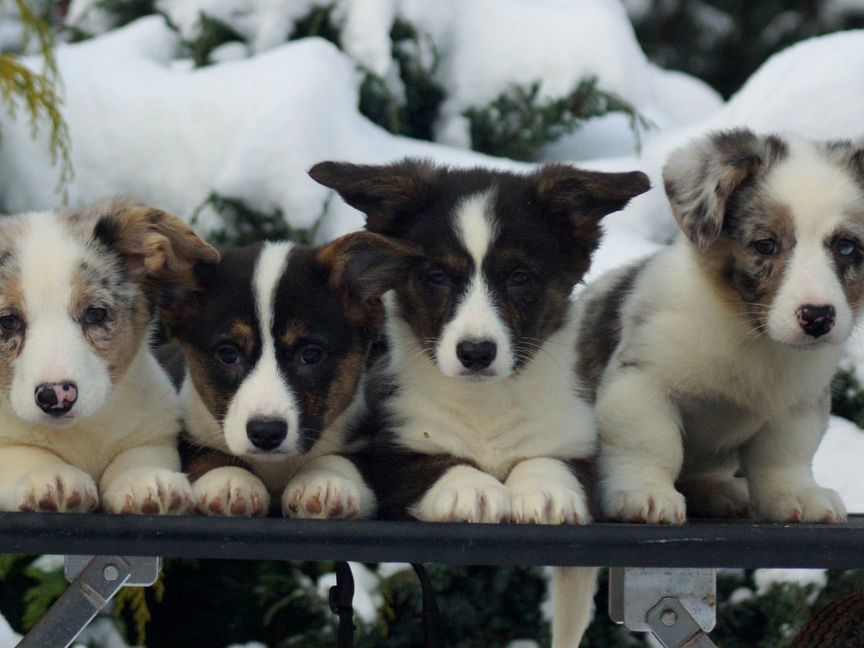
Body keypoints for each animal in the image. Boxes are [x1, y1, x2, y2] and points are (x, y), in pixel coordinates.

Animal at [0, 200, 216, 512]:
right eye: (7, 321)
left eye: (95, 314)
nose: (56, 396)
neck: (82, 430)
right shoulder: (9, 449)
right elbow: (25, 455)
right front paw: (52, 477)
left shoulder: (153, 436)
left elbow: (133, 459)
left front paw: (146, 481)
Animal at [162, 232, 418, 516]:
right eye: (228, 354)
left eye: (311, 354)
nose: (266, 433)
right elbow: (205, 455)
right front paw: (230, 481)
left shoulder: (365, 444)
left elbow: (343, 459)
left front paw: (325, 482)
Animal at [310, 157, 648, 648]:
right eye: (436, 276)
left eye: (519, 277)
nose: (475, 353)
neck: (485, 403)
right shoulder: (390, 449)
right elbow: (432, 462)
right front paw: (471, 490)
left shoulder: (581, 450)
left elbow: (551, 462)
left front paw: (544, 492)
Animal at [572, 130, 864, 528]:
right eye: (765, 244)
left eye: (847, 247)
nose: (817, 317)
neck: (748, 334)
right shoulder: (640, 384)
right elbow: (651, 443)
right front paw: (646, 494)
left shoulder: (798, 405)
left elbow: (786, 456)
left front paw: (797, 495)